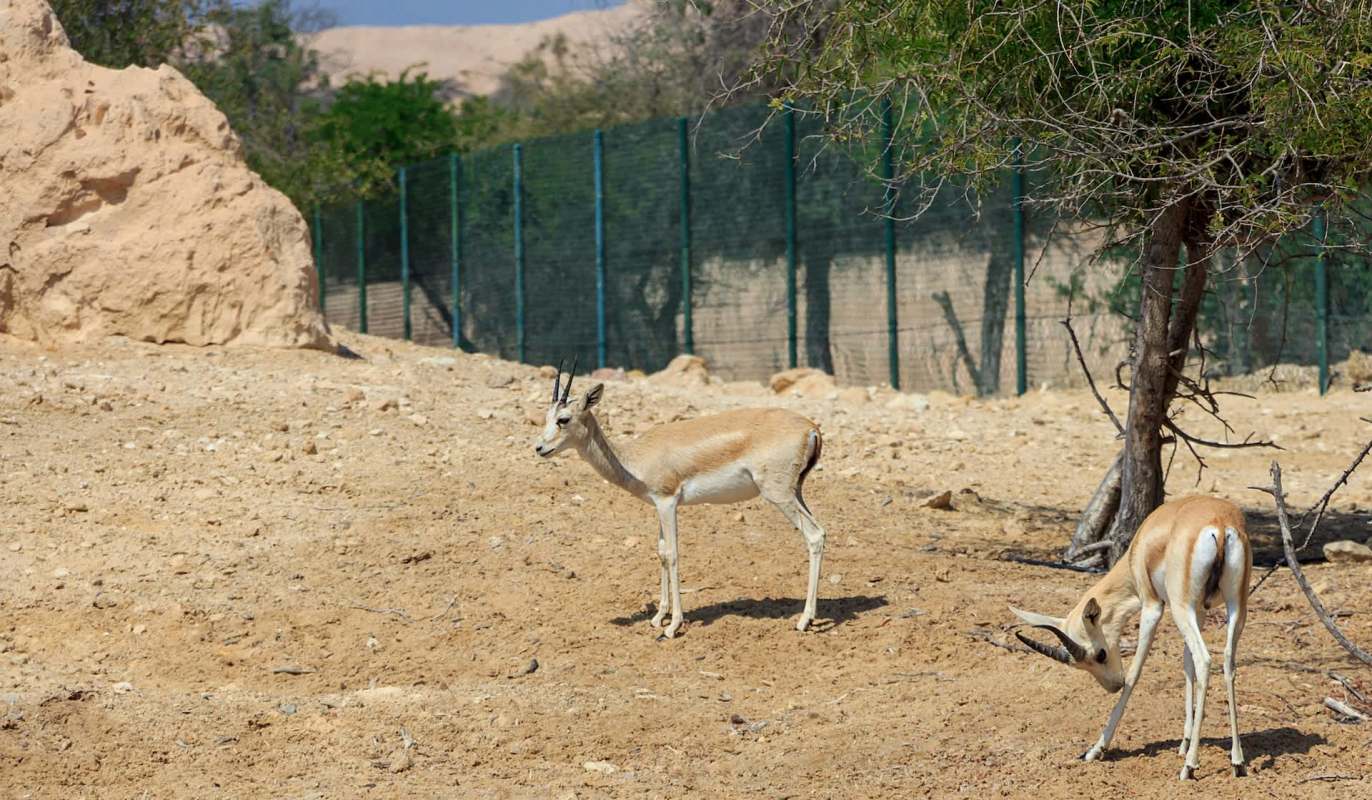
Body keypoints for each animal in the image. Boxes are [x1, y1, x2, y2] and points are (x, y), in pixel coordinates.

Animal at [532, 359, 828, 639]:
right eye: (546, 417)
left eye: (564, 419)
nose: (539, 448)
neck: (634, 459)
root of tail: (811, 427)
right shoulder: (658, 506)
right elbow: (662, 552)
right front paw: (657, 618)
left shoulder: (668, 502)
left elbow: (673, 554)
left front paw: (673, 626)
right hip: (795, 492)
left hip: (778, 494)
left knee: (815, 535)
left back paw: (804, 620)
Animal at [1010, 495, 1252, 781]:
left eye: (1100, 654)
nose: (1113, 685)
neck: (1144, 544)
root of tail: (1220, 524)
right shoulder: (1200, 610)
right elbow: (1186, 664)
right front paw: (1184, 741)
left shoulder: (1152, 606)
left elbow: (1136, 673)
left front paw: (1095, 750)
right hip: (1235, 606)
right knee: (1227, 662)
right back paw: (1237, 761)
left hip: (1182, 607)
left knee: (1204, 660)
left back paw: (1189, 767)